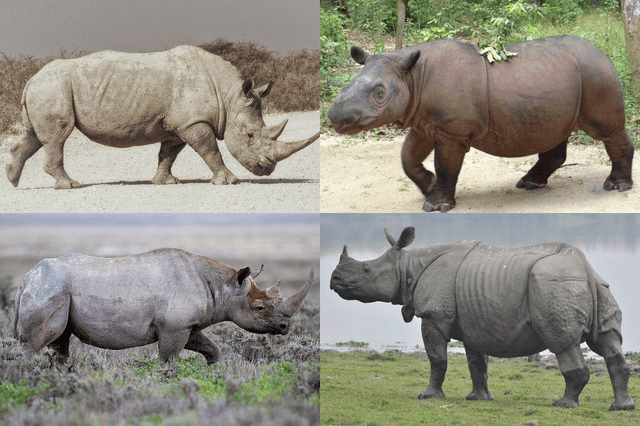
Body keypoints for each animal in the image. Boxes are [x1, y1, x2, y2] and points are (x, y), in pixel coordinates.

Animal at [6, 45, 319, 189]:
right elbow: (210, 150)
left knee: (35, 136)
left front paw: (166, 182)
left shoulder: (178, 124)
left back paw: (12, 179)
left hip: (47, 89)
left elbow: (169, 153)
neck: (228, 97)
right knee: (57, 137)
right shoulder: (193, 122)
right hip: (52, 88)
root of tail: (30, 79)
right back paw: (70, 186)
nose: (267, 169)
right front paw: (229, 181)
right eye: (251, 136)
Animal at [13, 249, 314, 364]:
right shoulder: (174, 328)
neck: (225, 286)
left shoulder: (187, 325)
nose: (285, 327)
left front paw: (213, 372)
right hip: (49, 287)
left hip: (52, 287)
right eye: (260, 309)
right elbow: (168, 360)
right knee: (37, 342)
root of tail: (26, 278)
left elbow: (212, 349)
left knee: (59, 343)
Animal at [328, 36, 634, 212]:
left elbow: (446, 165)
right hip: (571, 78)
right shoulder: (425, 122)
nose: (334, 118)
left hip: (596, 74)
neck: (411, 75)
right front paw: (428, 186)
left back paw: (616, 187)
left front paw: (436, 205)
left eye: (380, 94)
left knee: (607, 131)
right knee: (555, 133)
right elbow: (408, 157)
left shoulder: (452, 130)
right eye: (346, 86)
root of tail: (602, 52)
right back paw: (529, 184)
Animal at [330, 227, 635, 410]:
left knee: (562, 342)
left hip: (553, 286)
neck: (408, 266)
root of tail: (584, 268)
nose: (334, 280)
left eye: (366, 270)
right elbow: (477, 363)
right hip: (596, 287)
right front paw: (478, 399)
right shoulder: (474, 320)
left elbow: (437, 359)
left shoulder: (434, 315)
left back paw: (563, 405)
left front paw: (427, 396)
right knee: (608, 342)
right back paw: (622, 407)